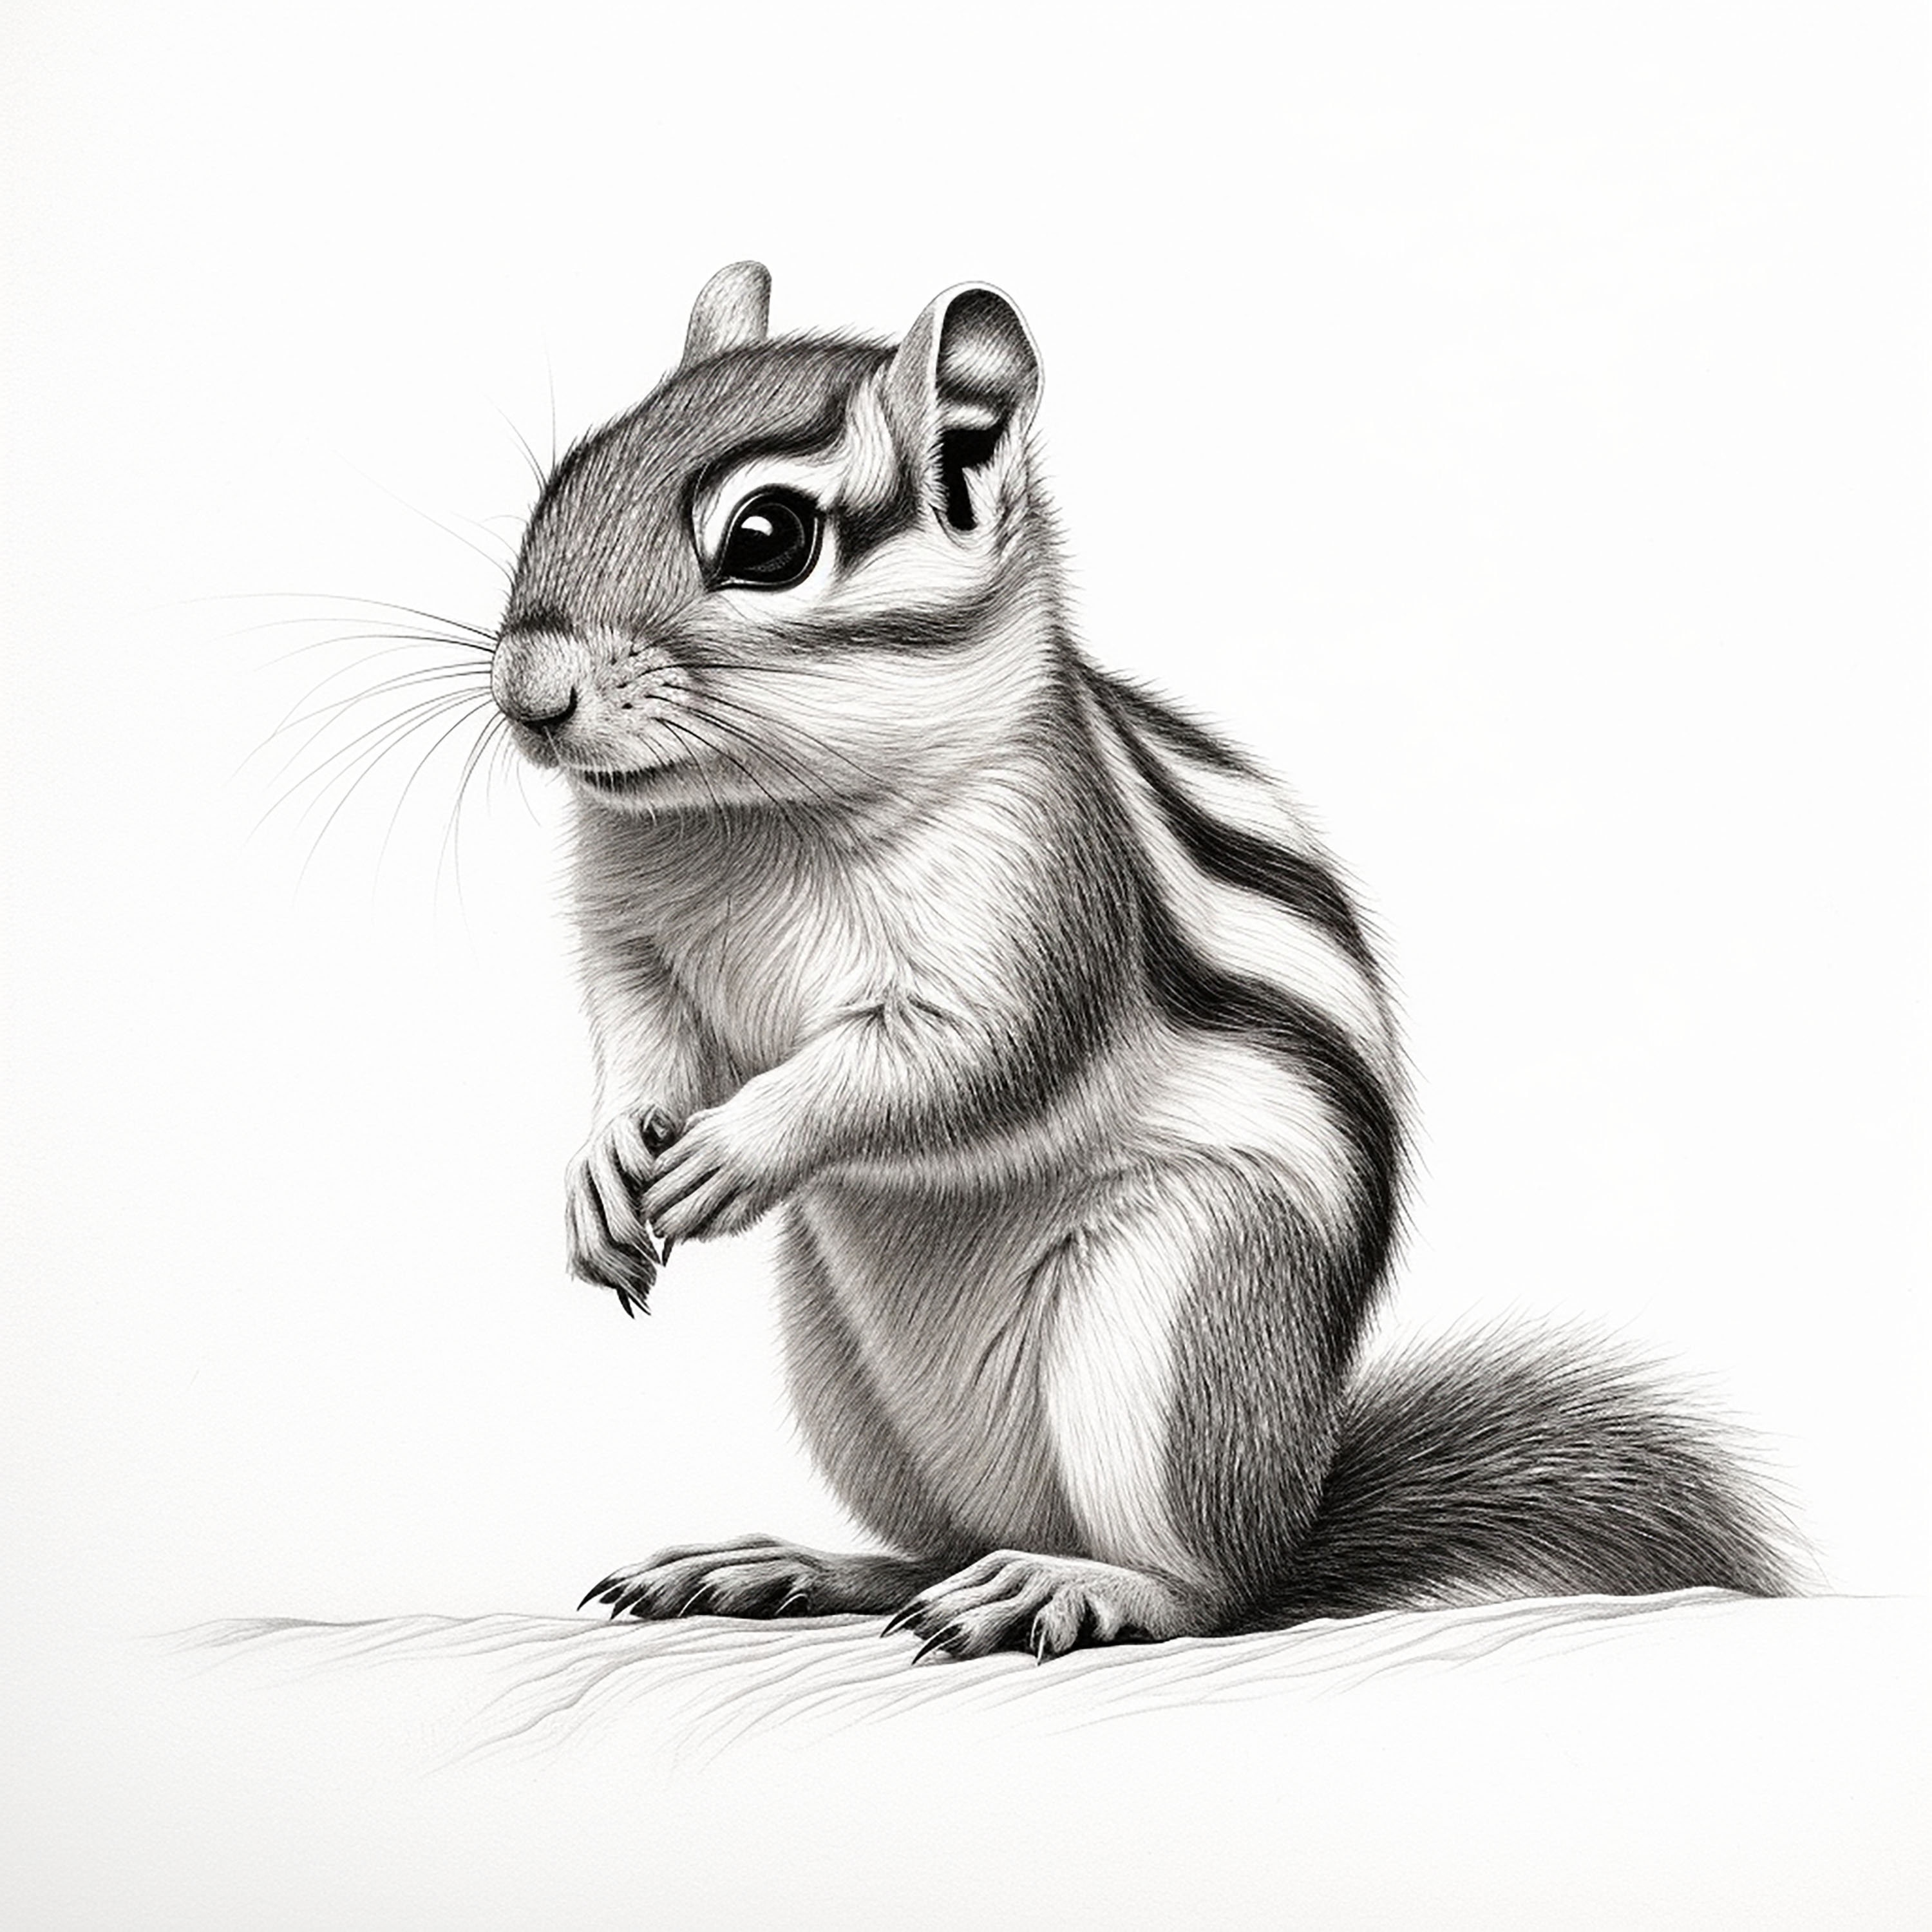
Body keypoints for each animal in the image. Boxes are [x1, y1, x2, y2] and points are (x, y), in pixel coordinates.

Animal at [486, 262, 1793, 1661]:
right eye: (571, 472)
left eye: (769, 537)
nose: (526, 692)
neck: (749, 817)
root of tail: (1297, 1502)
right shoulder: (633, 946)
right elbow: (637, 1046)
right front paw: (601, 1170)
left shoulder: (1043, 912)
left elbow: (961, 1065)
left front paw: (737, 1147)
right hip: (843, 1372)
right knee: (928, 1548)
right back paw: (791, 1567)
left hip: (1174, 1318)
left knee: (1207, 1590)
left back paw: (1075, 1586)